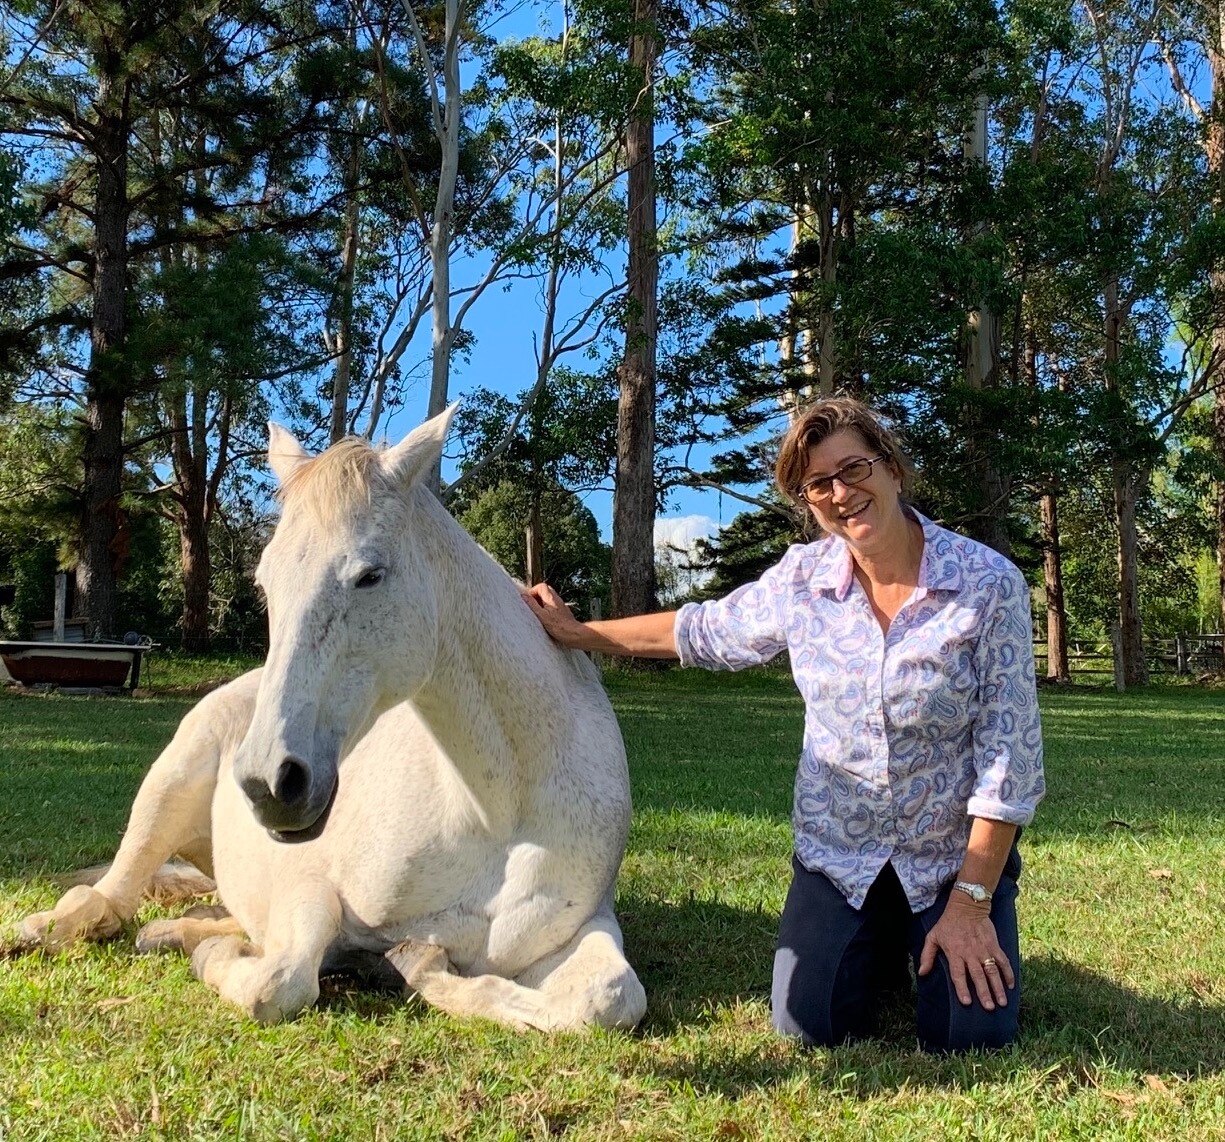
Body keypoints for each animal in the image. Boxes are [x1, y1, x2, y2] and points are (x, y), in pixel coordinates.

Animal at [14, 407, 647, 1031]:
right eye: (264, 582)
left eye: (370, 574)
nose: (268, 783)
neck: (498, 813)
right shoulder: (308, 885)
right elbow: (279, 981)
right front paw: (222, 955)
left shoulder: (584, 929)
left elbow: (608, 999)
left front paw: (415, 965)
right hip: (168, 786)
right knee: (109, 898)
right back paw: (53, 929)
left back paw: (178, 929)